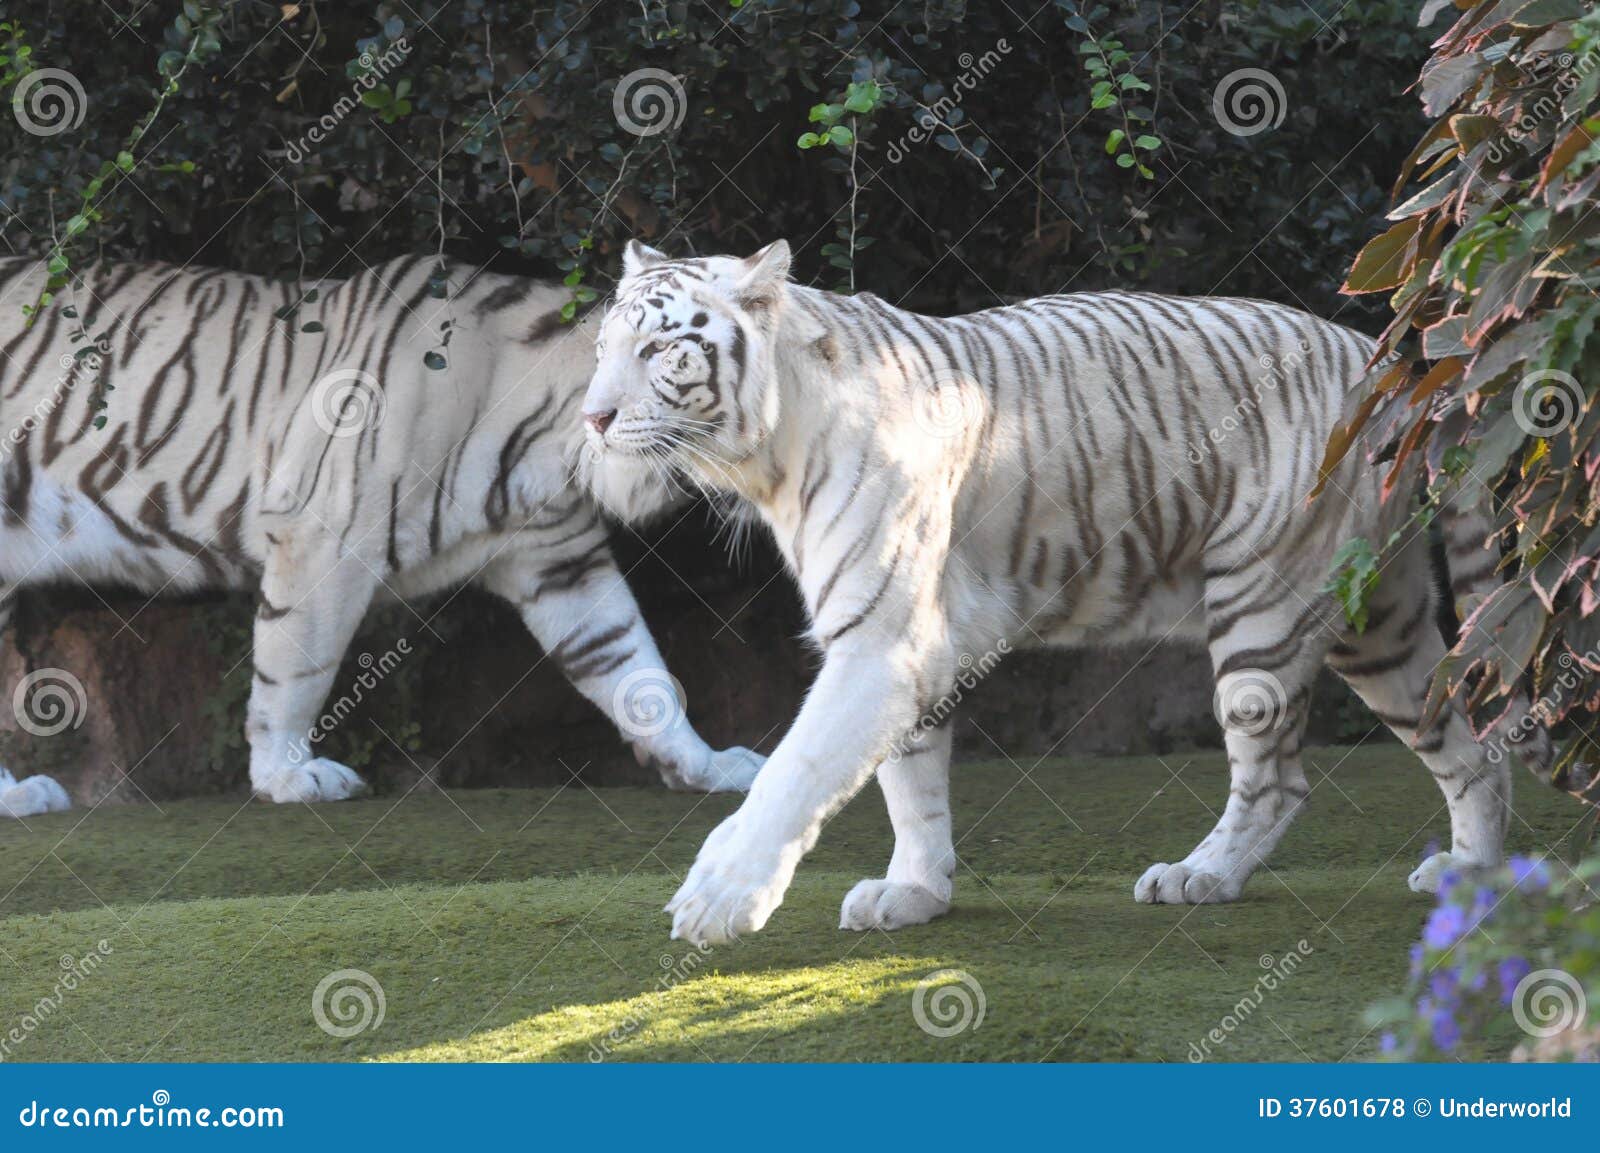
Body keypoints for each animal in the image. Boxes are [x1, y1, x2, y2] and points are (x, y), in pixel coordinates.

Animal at [0, 254, 763, 819]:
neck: (557, 453)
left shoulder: (562, 562)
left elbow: (634, 668)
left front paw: (707, 765)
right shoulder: (322, 541)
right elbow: (294, 672)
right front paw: (286, 778)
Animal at [579, 238, 1549, 946]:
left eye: (659, 348)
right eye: (600, 349)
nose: (590, 417)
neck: (769, 459)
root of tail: (1380, 360)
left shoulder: (882, 641)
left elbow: (799, 767)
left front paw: (715, 900)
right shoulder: (911, 644)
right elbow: (909, 781)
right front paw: (915, 891)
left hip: (1264, 604)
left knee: (1278, 777)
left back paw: (1201, 875)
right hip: (1380, 619)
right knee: (1465, 743)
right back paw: (1471, 873)